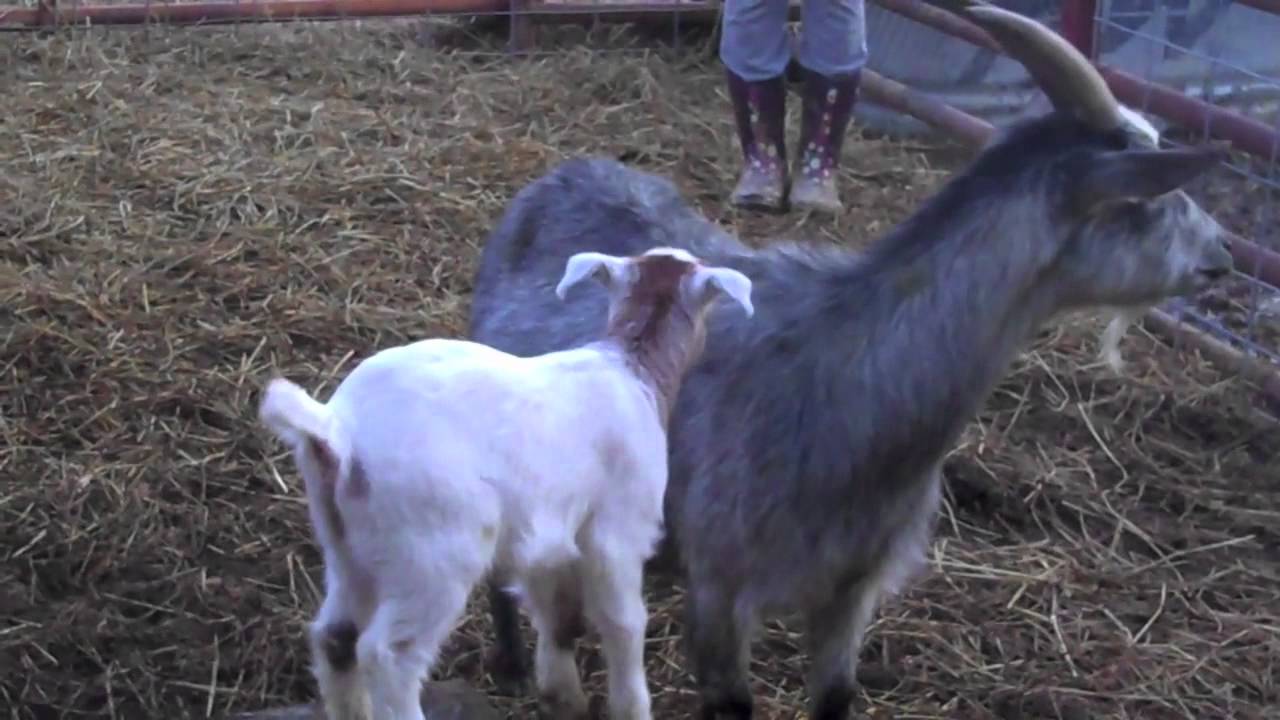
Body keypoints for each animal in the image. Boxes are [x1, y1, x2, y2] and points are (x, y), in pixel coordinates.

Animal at [259, 247, 755, 720]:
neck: (635, 368)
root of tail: (338, 431)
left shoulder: (550, 536)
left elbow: (558, 616)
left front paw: (562, 697)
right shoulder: (617, 532)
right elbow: (623, 622)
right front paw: (631, 707)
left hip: (350, 549)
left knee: (335, 638)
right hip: (433, 551)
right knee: (389, 654)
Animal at [465, 7, 1235, 720]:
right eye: (1145, 197)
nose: (1223, 254)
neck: (845, 367)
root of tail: (560, 175)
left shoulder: (852, 590)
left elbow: (837, 696)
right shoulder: (719, 583)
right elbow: (731, 701)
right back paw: (512, 663)